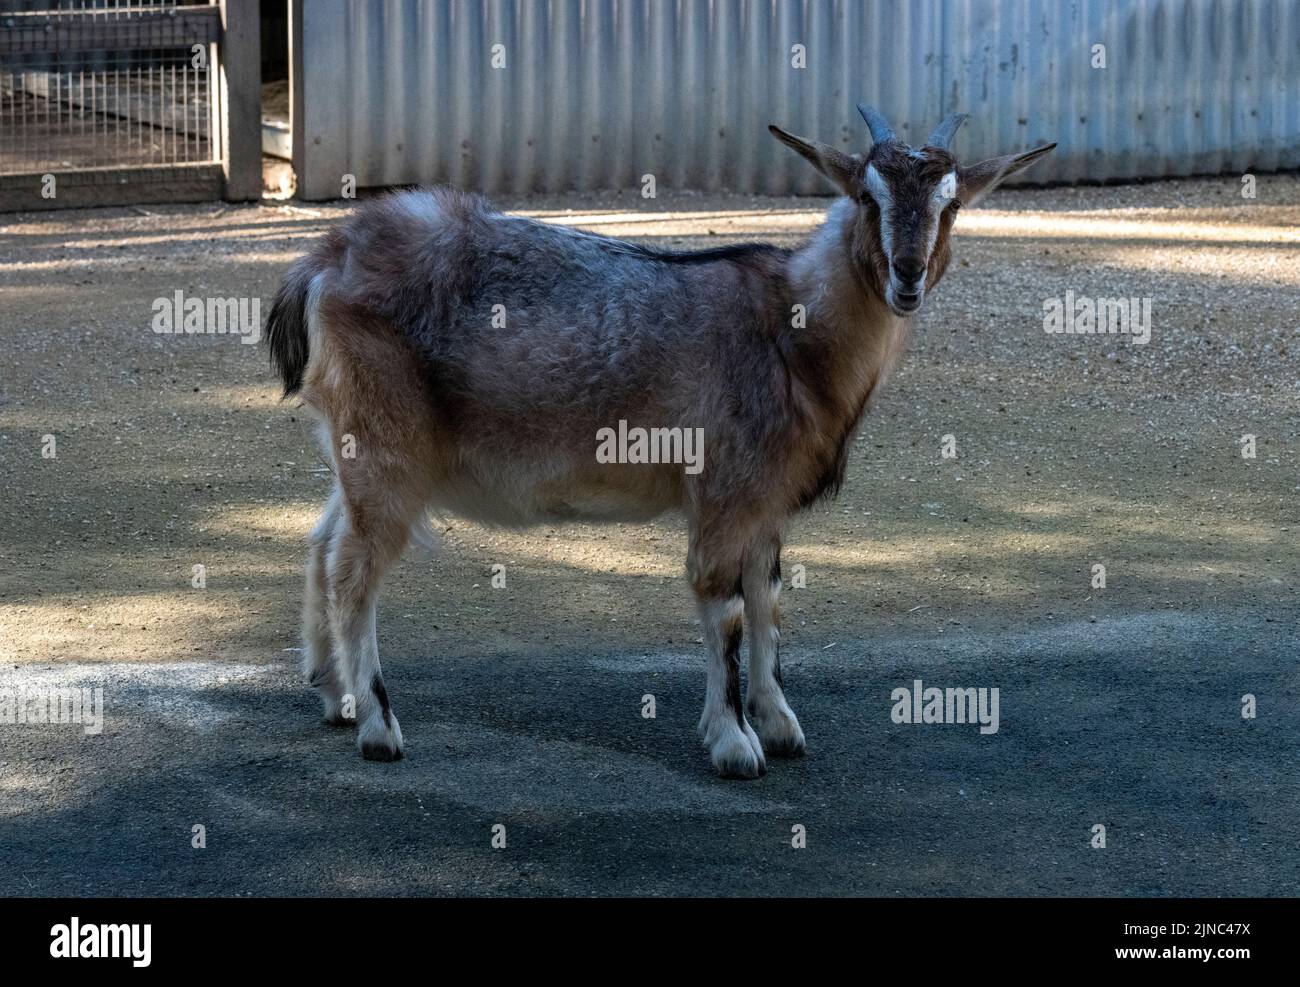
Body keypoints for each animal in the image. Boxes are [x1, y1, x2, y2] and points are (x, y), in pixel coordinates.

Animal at [265, 105, 1054, 778]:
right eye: (867, 195)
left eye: (952, 203)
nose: (907, 276)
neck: (794, 333)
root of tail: (330, 257)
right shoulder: (725, 490)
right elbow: (723, 604)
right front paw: (734, 742)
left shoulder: (766, 502)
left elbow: (768, 603)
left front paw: (780, 723)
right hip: (387, 441)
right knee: (354, 569)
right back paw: (378, 726)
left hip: (357, 446)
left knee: (323, 541)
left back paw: (333, 693)